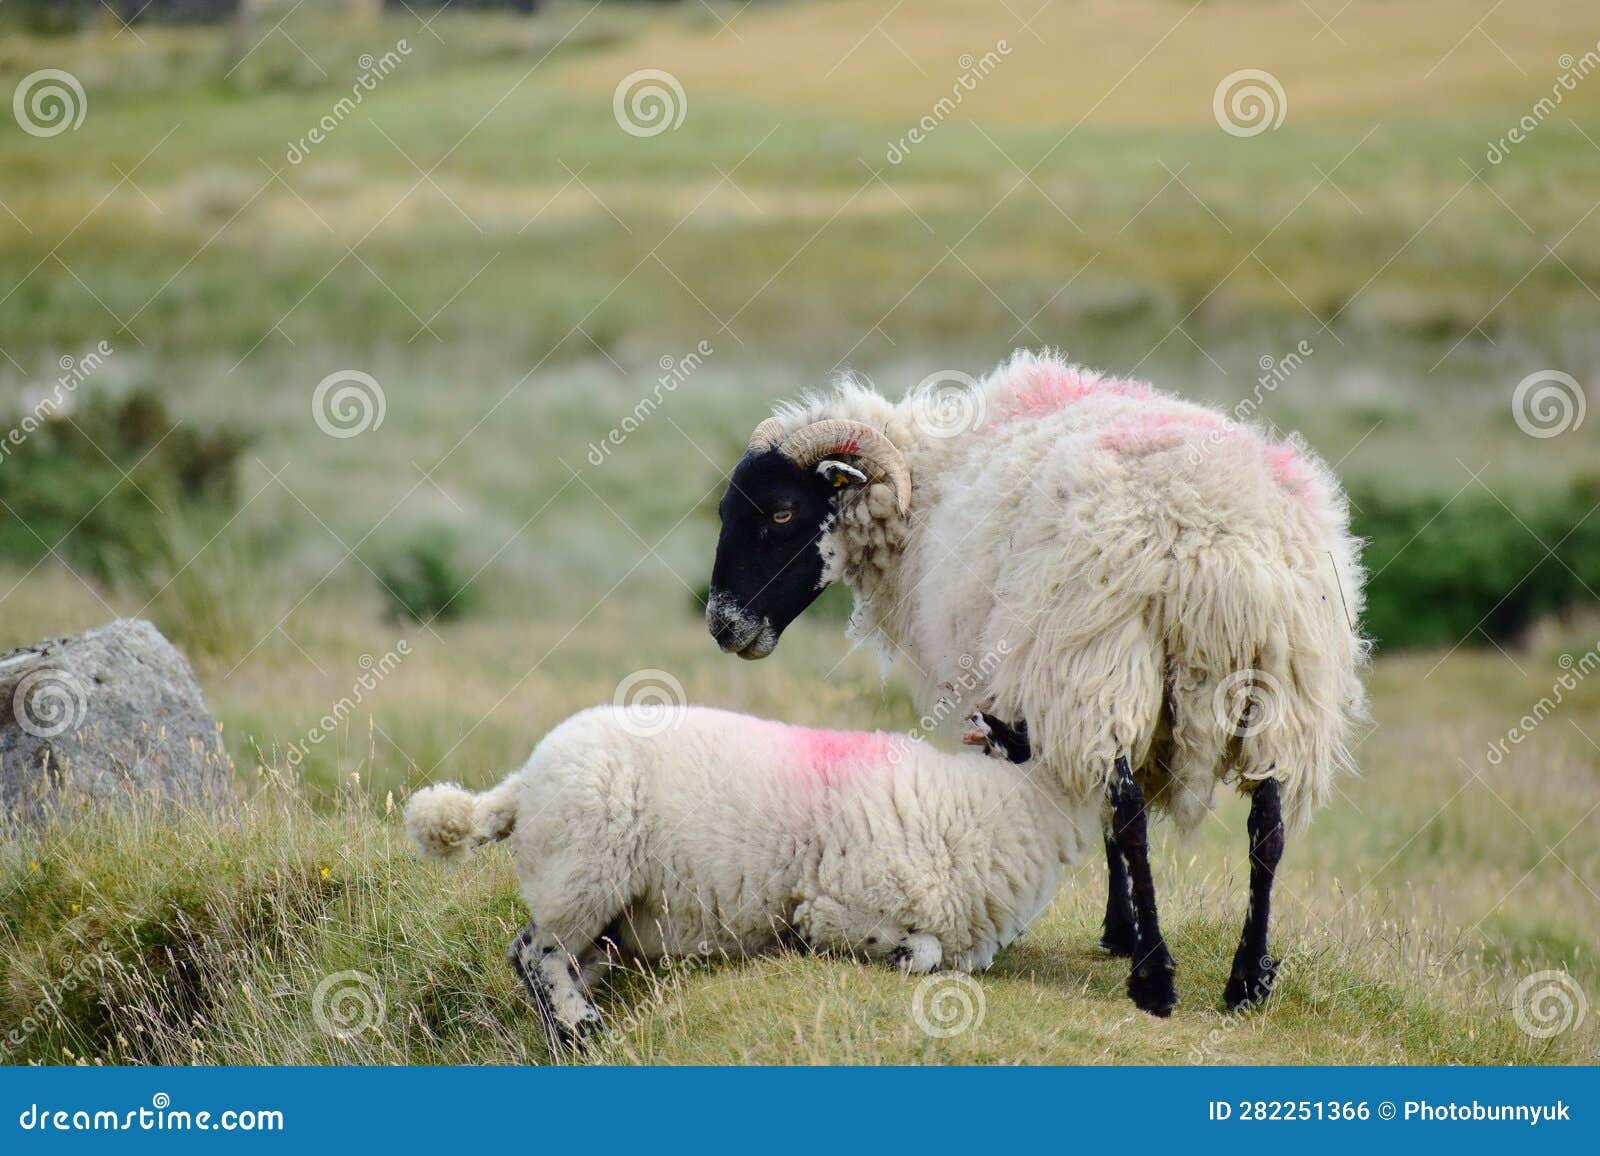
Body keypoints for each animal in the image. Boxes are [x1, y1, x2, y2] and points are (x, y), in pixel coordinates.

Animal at [405, 703, 1095, 1048]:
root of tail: (523, 784)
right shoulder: (838, 904)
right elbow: (915, 949)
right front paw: (885, 955)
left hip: (608, 906)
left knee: (560, 956)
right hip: (584, 868)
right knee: (533, 951)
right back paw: (580, 1026)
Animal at [705, 348, 1368, 1016]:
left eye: (782, 513)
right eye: (726, 512)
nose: (723, 626)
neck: (932, 479)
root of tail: (1217, 544)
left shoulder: (1024, 682)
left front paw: (1119, 934)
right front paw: (1123, 931)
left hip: (1105, 660)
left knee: (1130, 811)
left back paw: (1155, 978)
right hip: (1285, 681)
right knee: (1268, 825)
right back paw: (1248, 978)